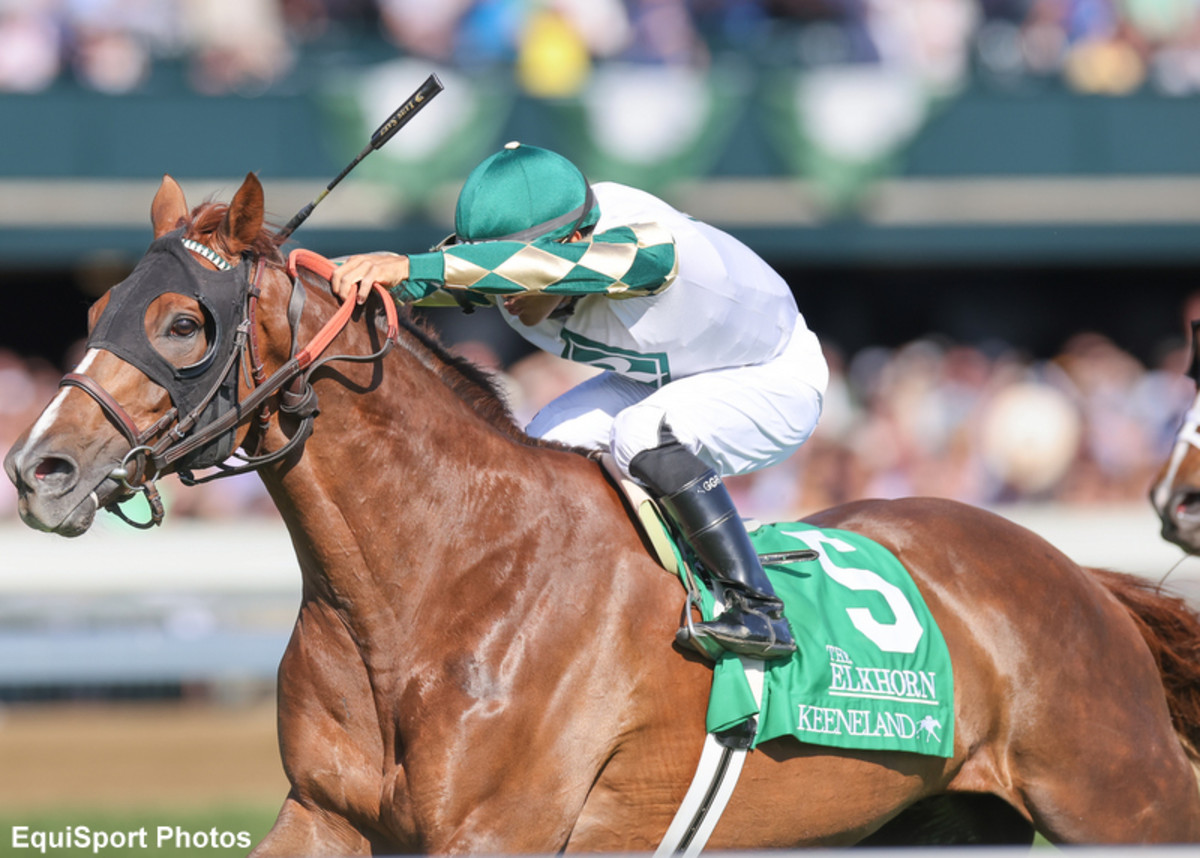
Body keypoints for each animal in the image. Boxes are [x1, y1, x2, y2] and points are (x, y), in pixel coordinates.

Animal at [7, 173, 1200, 854]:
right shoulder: (324, 814)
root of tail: (1075, 577)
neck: (431, 584)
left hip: (1119, 798)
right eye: (94, 307)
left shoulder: (501, 831)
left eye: (182, 323)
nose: (38, 468)